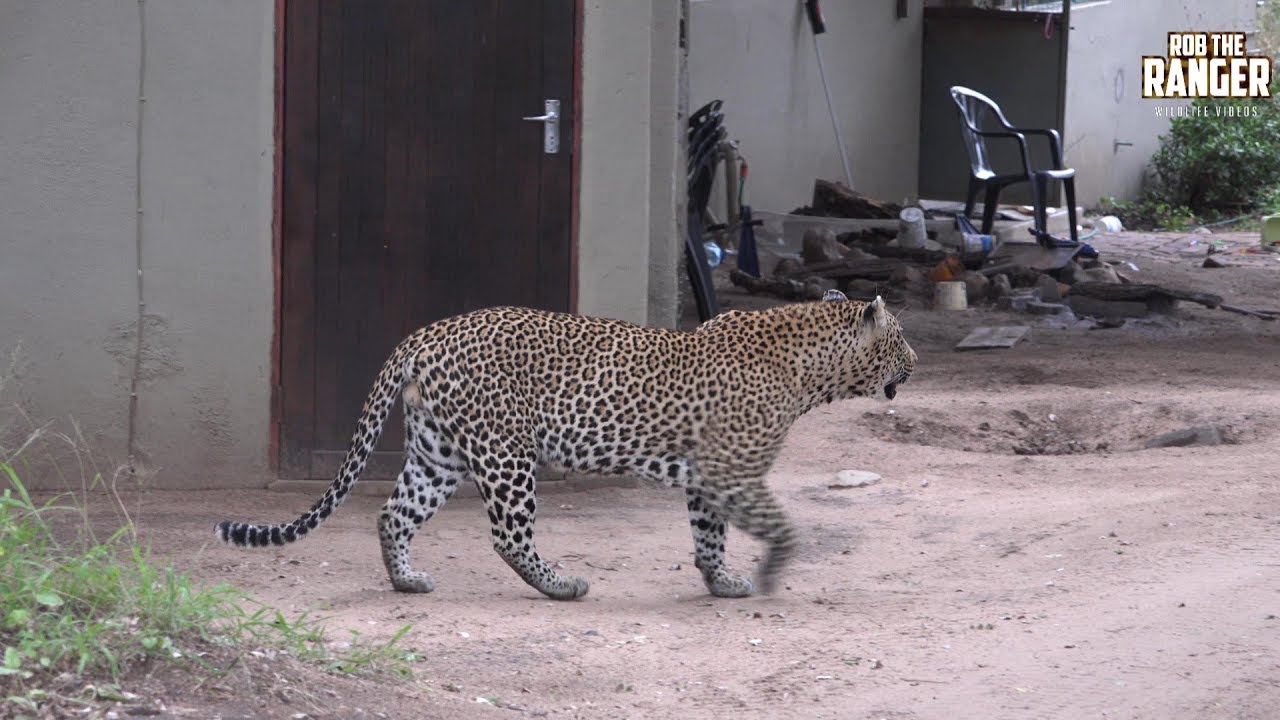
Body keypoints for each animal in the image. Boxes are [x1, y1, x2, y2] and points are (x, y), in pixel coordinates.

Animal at [215, 289, 916, 600]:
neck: (812, 365)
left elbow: (709, 535)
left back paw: (407, 580)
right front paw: (772, 571)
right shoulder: (733, 471)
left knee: (394, 513)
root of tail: (425, 332)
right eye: (902, 337)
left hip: (438, 453)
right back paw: (561, 585)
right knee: (508, 534)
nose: (914, 363)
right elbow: (778, 524)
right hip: (504, 453)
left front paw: (721, 582)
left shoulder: (707, 476)